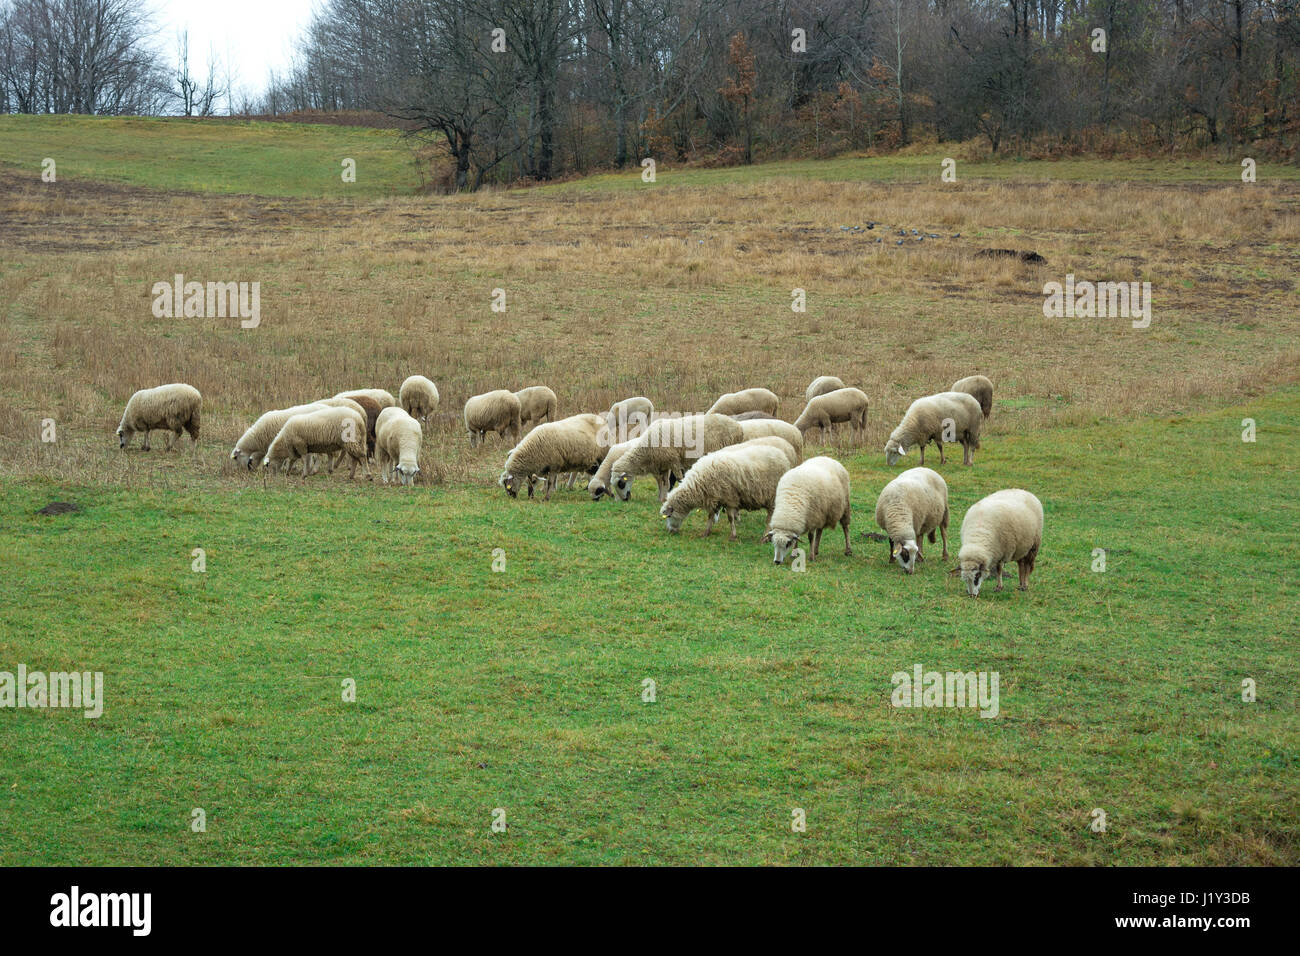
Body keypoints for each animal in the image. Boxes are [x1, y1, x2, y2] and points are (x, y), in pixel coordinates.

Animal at [610, 413, 744, 503]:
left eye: (621, 483)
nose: (625, 500)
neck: (646, 450)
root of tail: (738, 426)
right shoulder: (661, 465)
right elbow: (662, 483)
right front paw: (661, 498)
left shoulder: (673, 461)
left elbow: (679, 479)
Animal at [660, 438, 796, 539]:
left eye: (669, 516)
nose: (670, 531)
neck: (699, 483)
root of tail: (782, 456)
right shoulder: (714, 497)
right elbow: (710, 516)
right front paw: (706, 533)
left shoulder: (730, 498)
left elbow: (730, 518)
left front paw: (733, 535)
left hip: (772, 496)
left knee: (770, 517)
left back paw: (764, 537)